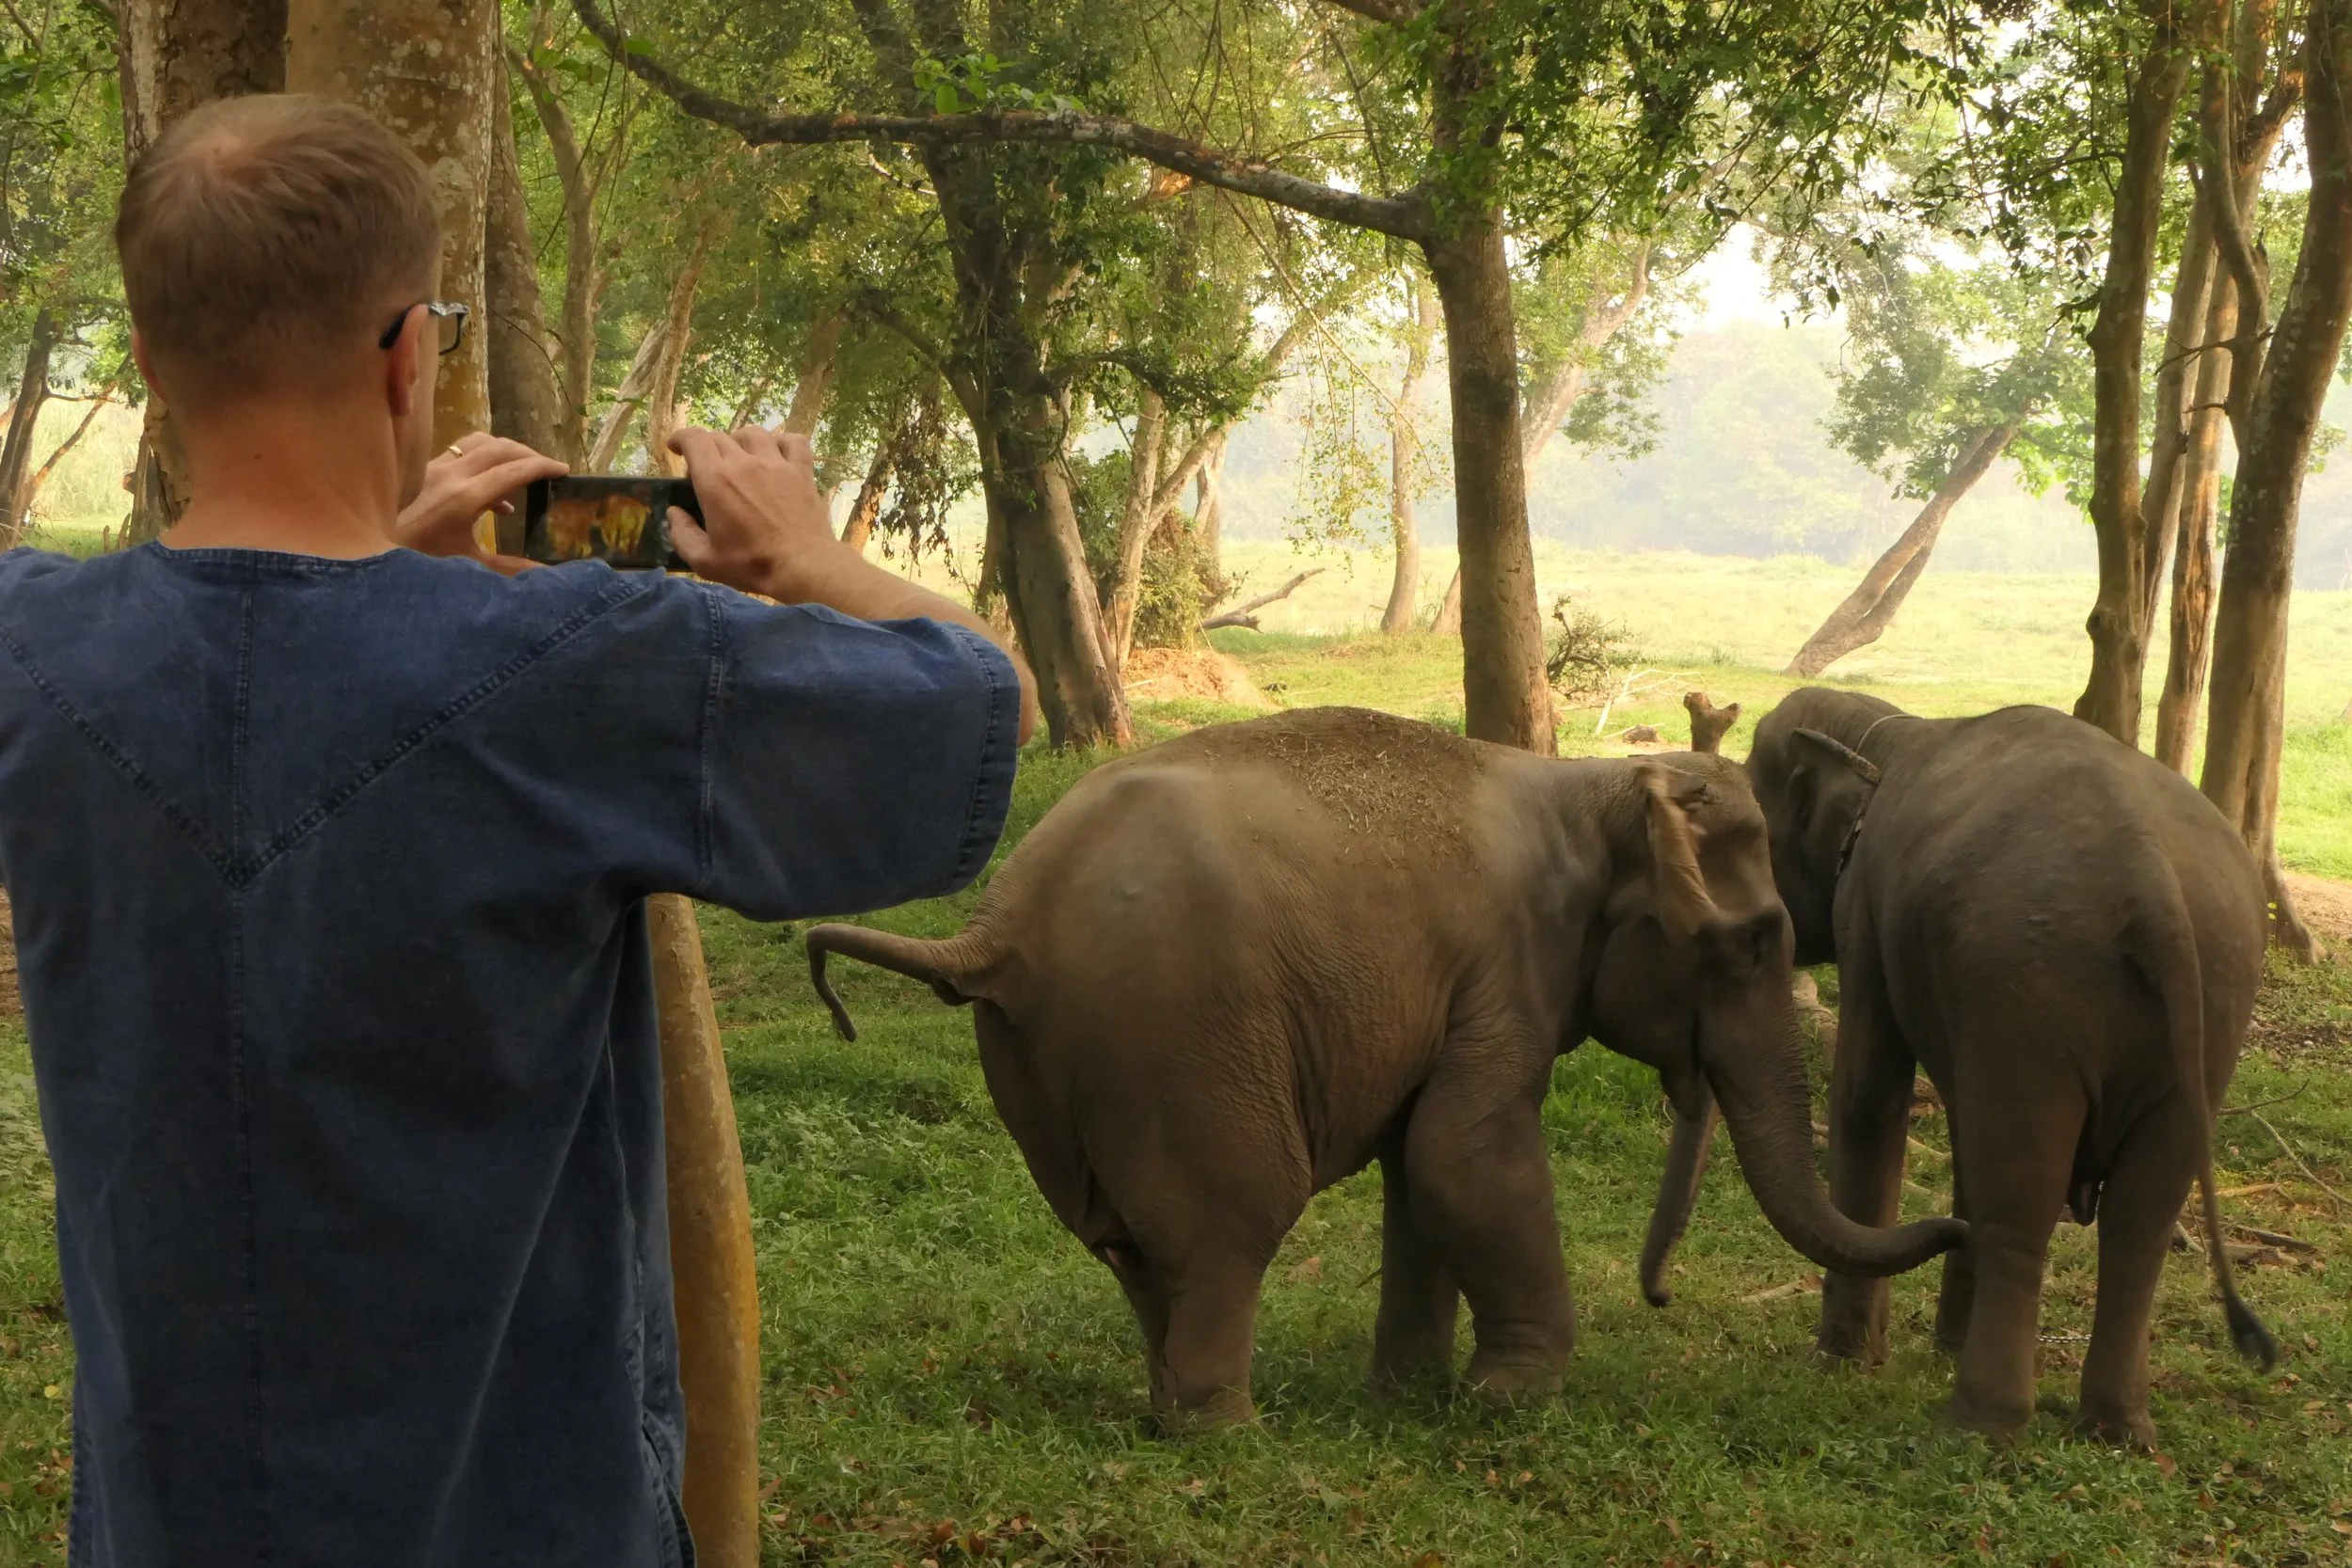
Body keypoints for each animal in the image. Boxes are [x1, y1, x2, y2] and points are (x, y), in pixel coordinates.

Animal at [804, 708, 1964, 1428]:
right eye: (1758, 941)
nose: (1665, 1297)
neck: (1593, 788)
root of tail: (991, 927)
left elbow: (1421, 1167)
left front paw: (1407, 1397)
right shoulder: (1508, 962)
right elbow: (1466, 1153)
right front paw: (1512, 1399)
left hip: (1057, 1065)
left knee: (1133, 1242)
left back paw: (1170, 1407)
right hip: (1184, 1046)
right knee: (1230, 1220)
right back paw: (1225, 1431)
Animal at [1746, 689, 2276, 1445]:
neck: (1885, 728)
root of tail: (2153, 888)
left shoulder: (1867, 911)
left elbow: (1868, 1095)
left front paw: (1840, 1363)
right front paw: (1936, 1346)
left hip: (2028, 984)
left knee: (2022, 1198)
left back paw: (1980, 1426)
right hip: (2212, 997)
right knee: (2140, 1211)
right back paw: (2117, 1431)